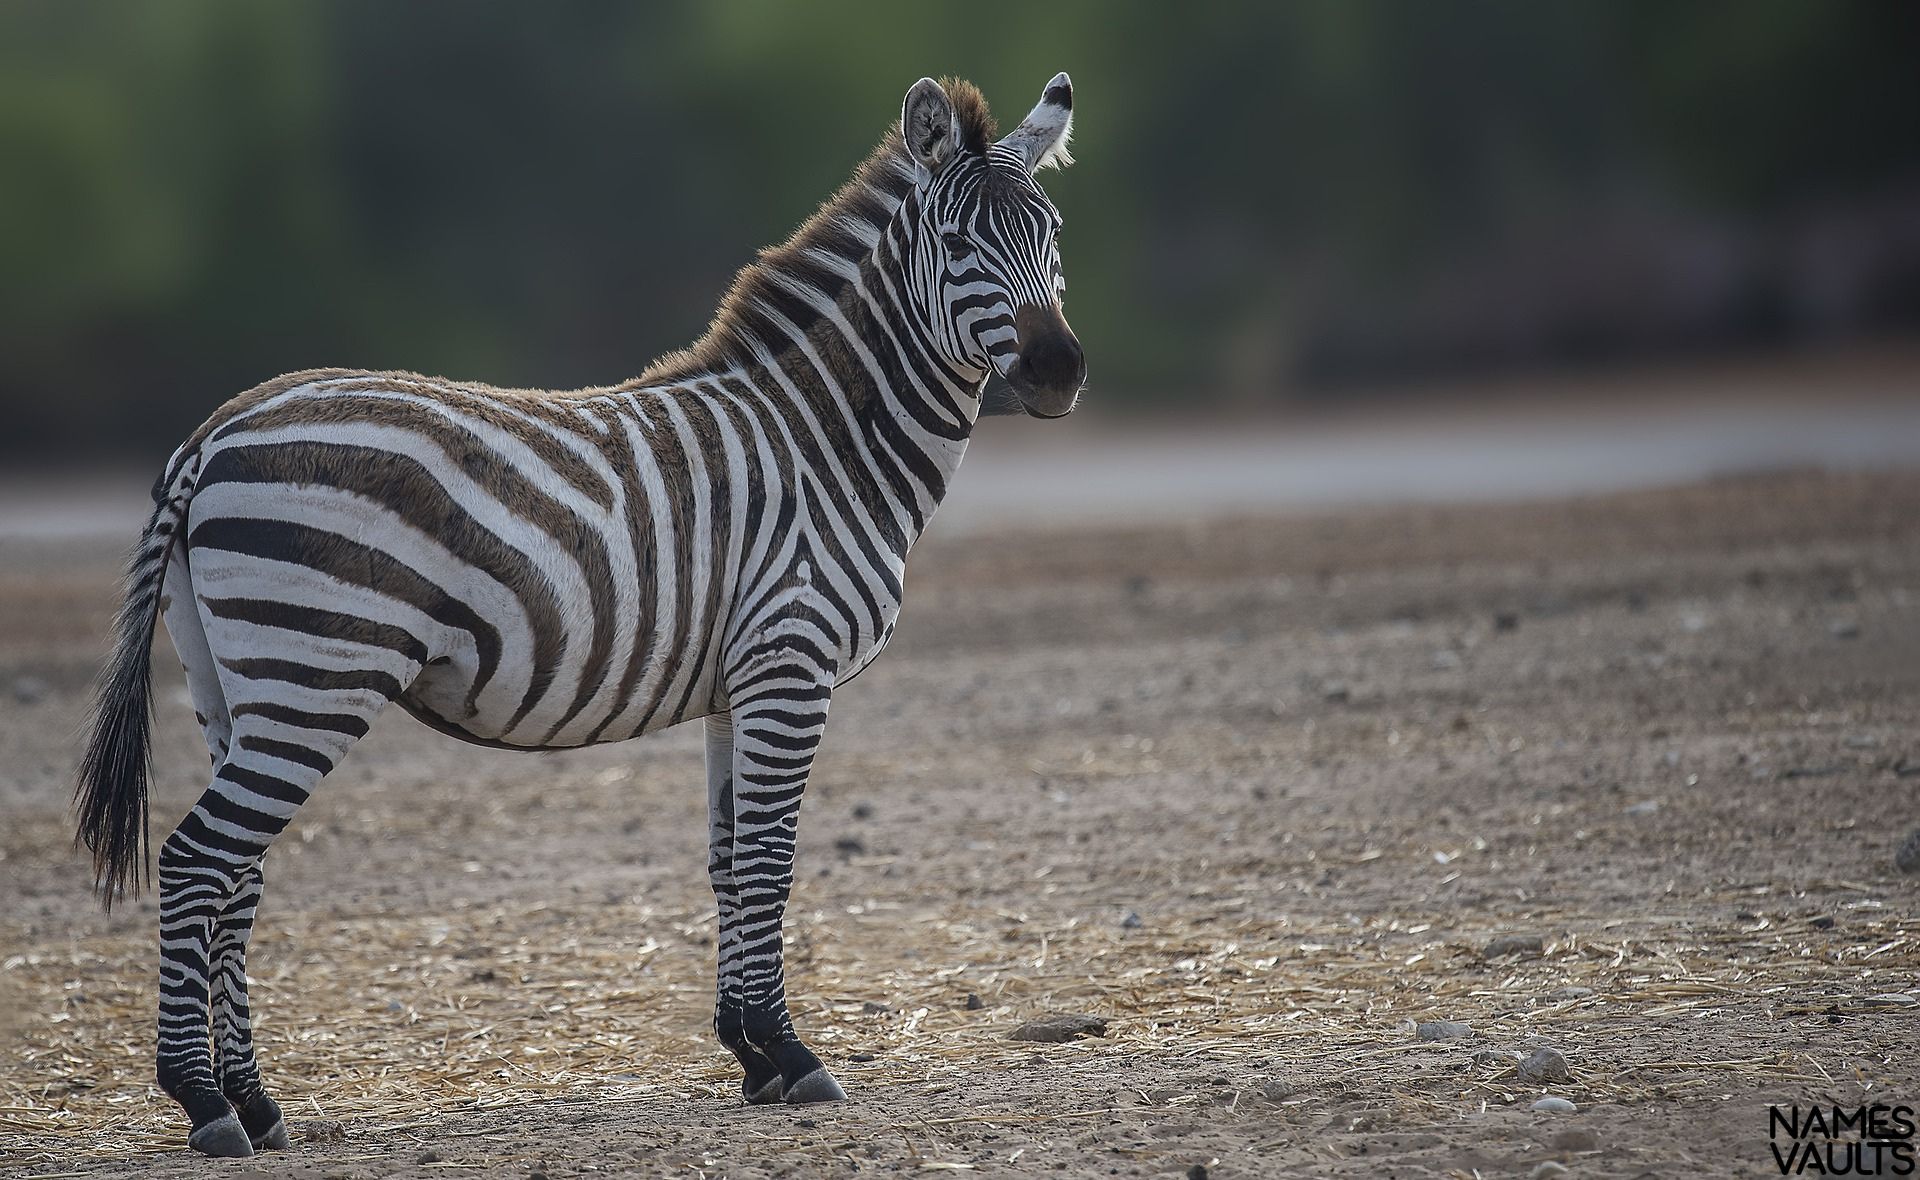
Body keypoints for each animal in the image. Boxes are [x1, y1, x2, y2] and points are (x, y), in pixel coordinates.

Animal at [73, 74, 1082, 1157]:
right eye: (959, 242)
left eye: (1053, 230)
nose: (1059, 371)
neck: (828, 444)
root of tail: (211, 434)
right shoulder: (791, 662)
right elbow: (771, 861)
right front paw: (793, 1054)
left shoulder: (737, 685)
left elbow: (729, 864)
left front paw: (750, 1055)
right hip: (317, 675)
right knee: (196, 861)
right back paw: (204, 1102)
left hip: (233, 685)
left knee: (238, 878)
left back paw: (257, 1103)